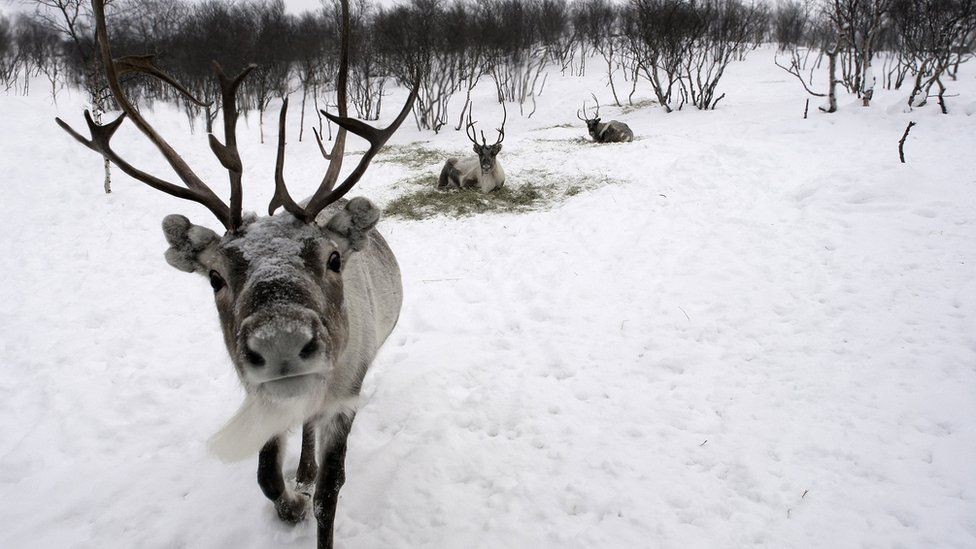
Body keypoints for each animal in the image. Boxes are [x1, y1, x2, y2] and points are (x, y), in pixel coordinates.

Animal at [54, 1, 418, 548]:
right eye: (215, 277)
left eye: (333, 259)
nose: (282, 343)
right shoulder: (259, 392)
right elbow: (266, 473)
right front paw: (291, 501)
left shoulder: (345, 393)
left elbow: (331, 492)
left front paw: (310, 498)